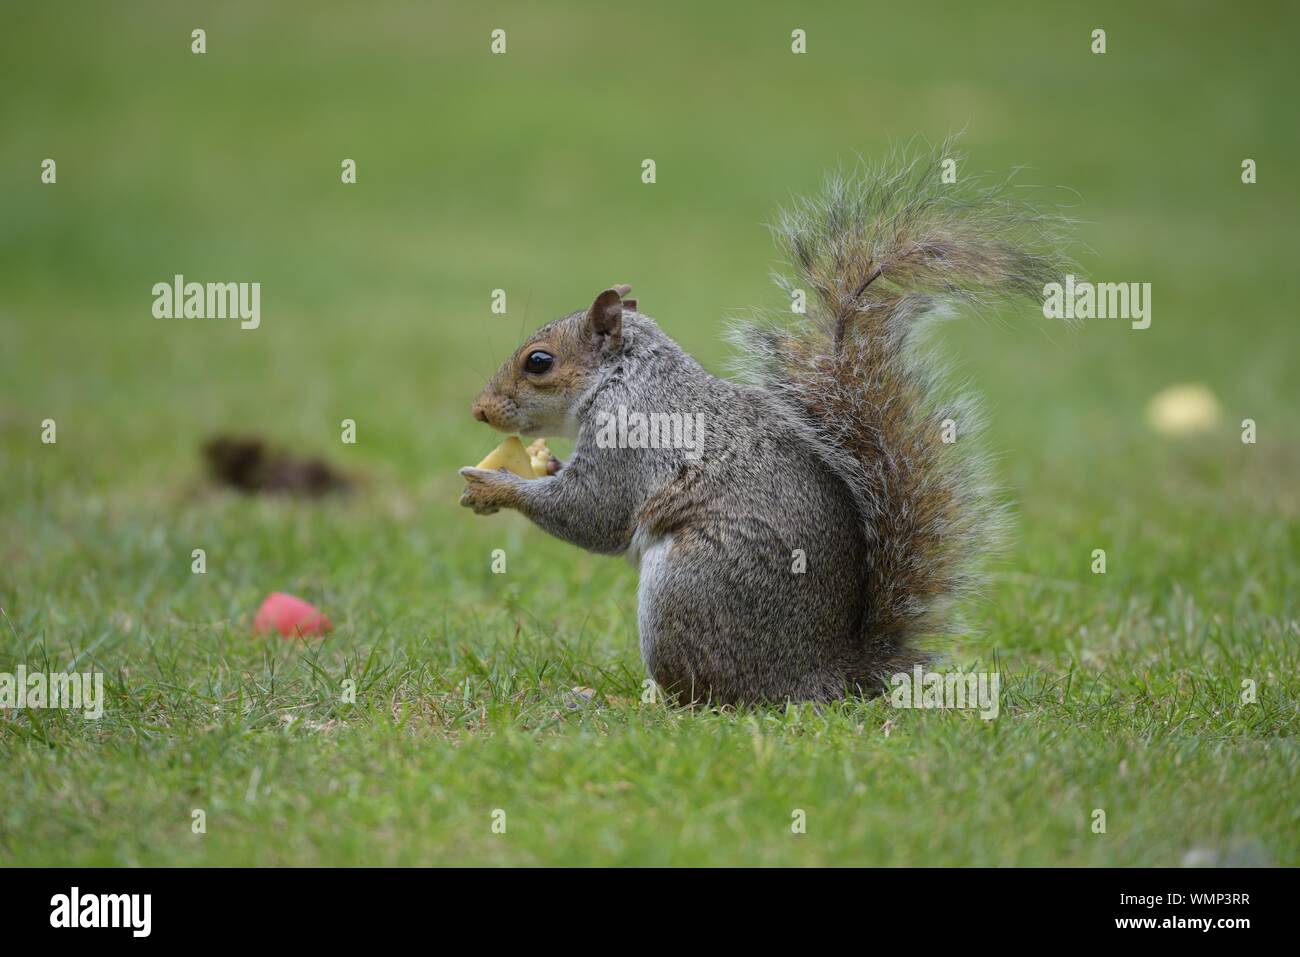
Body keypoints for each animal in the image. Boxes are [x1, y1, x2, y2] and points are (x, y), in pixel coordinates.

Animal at [460, 148, 1066, 704]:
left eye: (539, 362)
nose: (480, 410)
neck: (623, 375)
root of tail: (825, 678)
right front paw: (542, 461)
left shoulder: (630, 434)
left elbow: (593, 513)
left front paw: (494, 486)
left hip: (688, 590)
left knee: (705, 695)